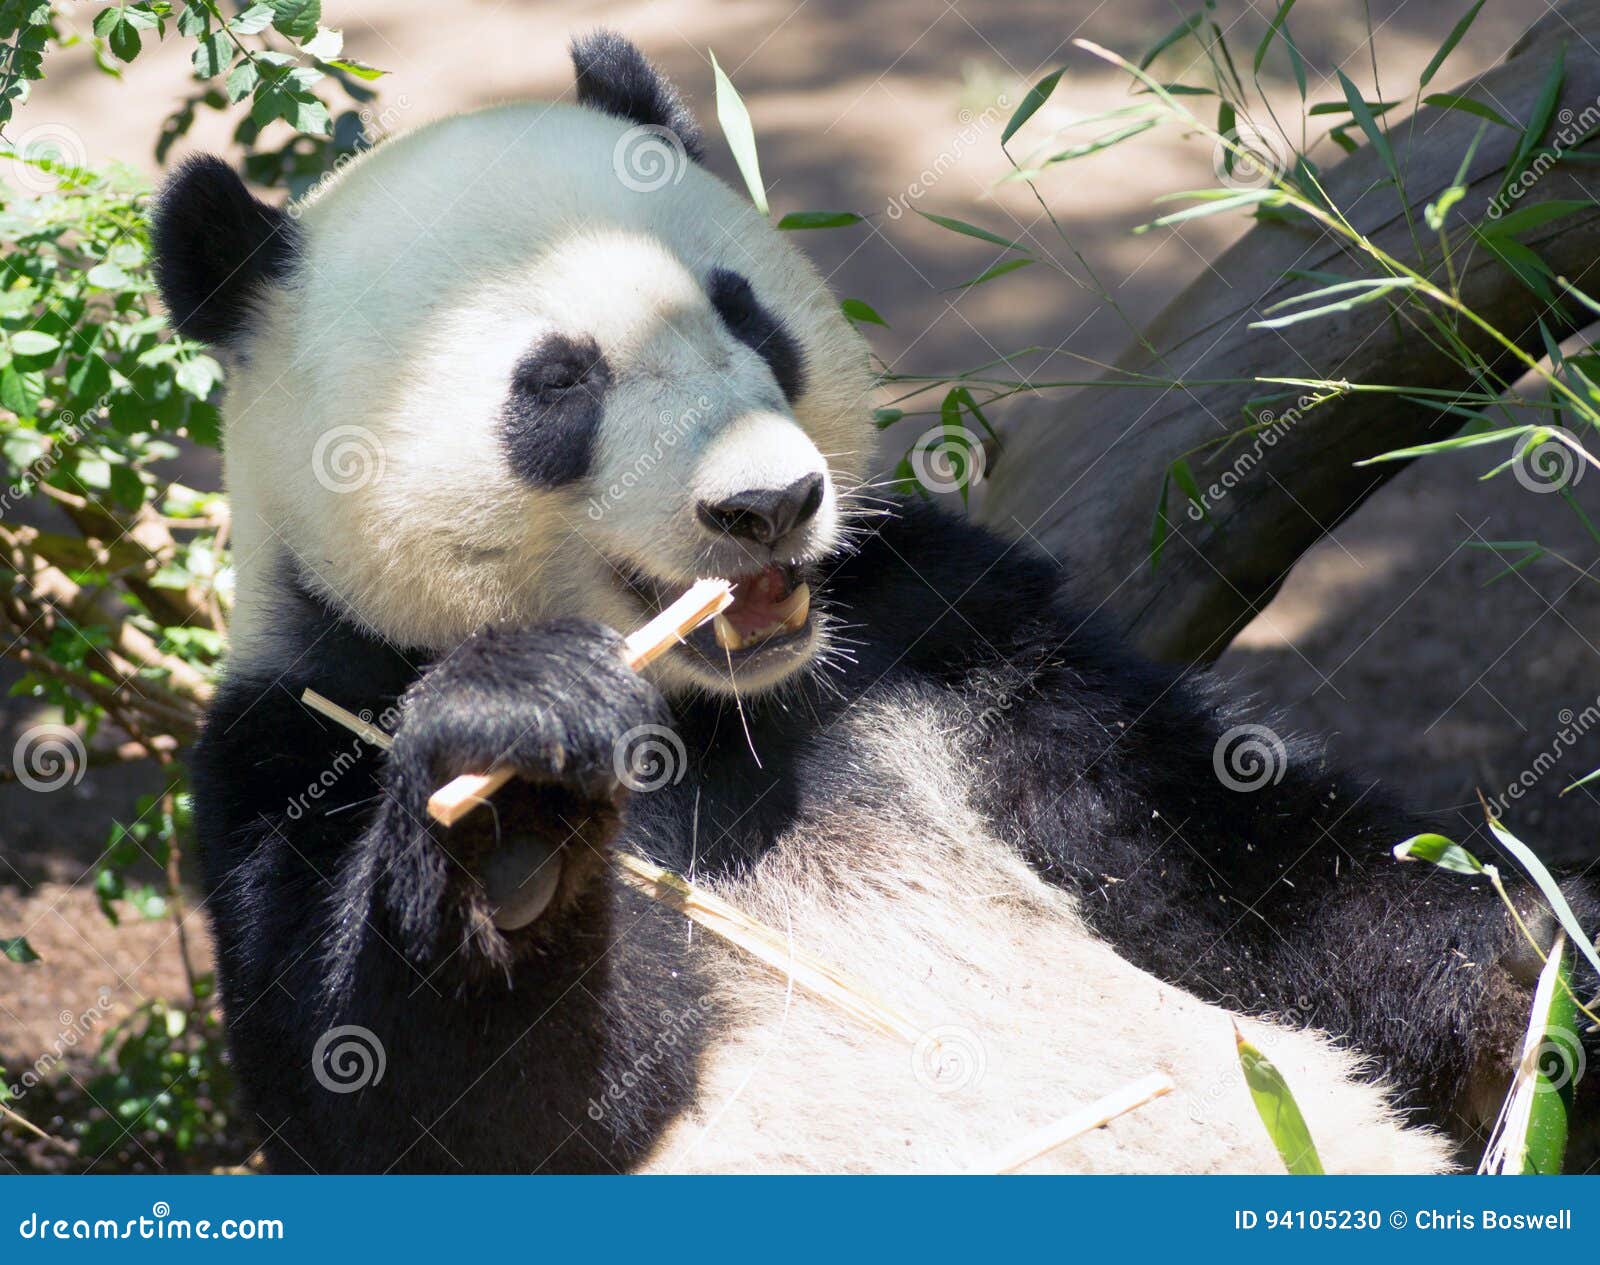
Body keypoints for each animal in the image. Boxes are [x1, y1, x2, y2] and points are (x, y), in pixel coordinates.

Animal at [150, 30, 1592, 1174]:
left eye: (745, 314)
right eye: (557, 383)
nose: (767, 503)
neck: (722, 706)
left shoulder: (940, 636)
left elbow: (1249, 879)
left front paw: (1535, 968)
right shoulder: (302, 732)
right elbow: (419, 1095)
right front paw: (517, 798)